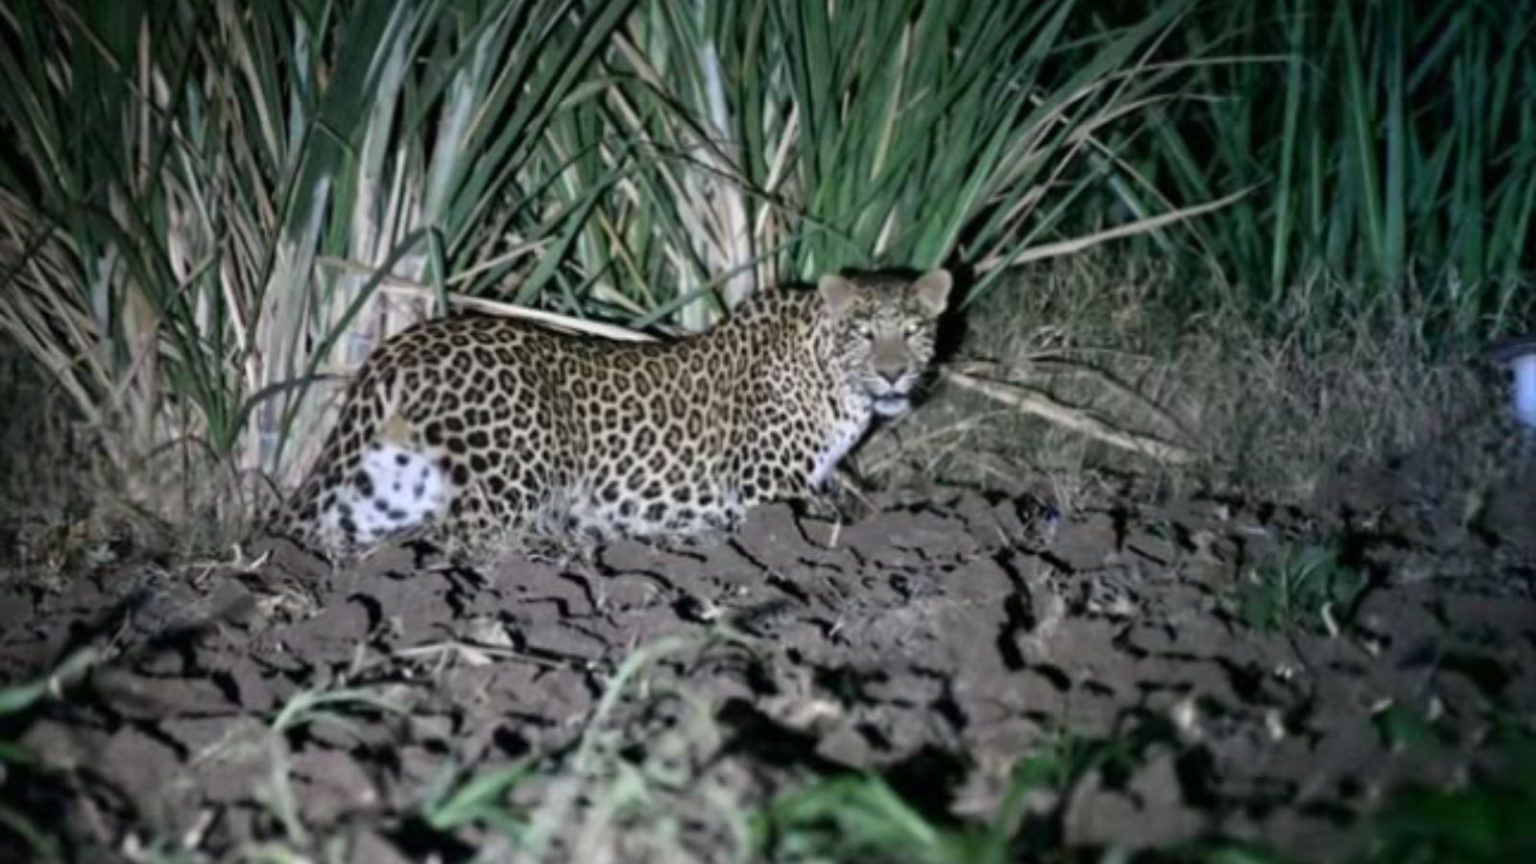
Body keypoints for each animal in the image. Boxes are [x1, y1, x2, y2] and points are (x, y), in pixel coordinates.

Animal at [265, 268, 953, 561]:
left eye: (914, 331)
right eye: (864, 334)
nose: (894, 373)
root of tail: (398, 348)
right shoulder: (768, 486)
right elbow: (817, 516)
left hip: (380, 487)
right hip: (522, 463)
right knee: (473, 536)